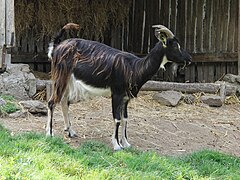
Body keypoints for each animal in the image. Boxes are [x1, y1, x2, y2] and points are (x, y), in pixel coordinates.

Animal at [46, 23, 190, 151]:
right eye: (175, 46)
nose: (189, 59)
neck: (134, 67)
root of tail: (57, 48)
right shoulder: (116, 94)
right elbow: (117, 119)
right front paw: (116, 145)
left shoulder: (126, 98)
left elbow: (125, 119)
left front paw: (126, 143)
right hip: (60, 76)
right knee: (52, 102)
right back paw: (50, 134)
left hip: (68, 80)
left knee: (64, 102)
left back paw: (71, 132)